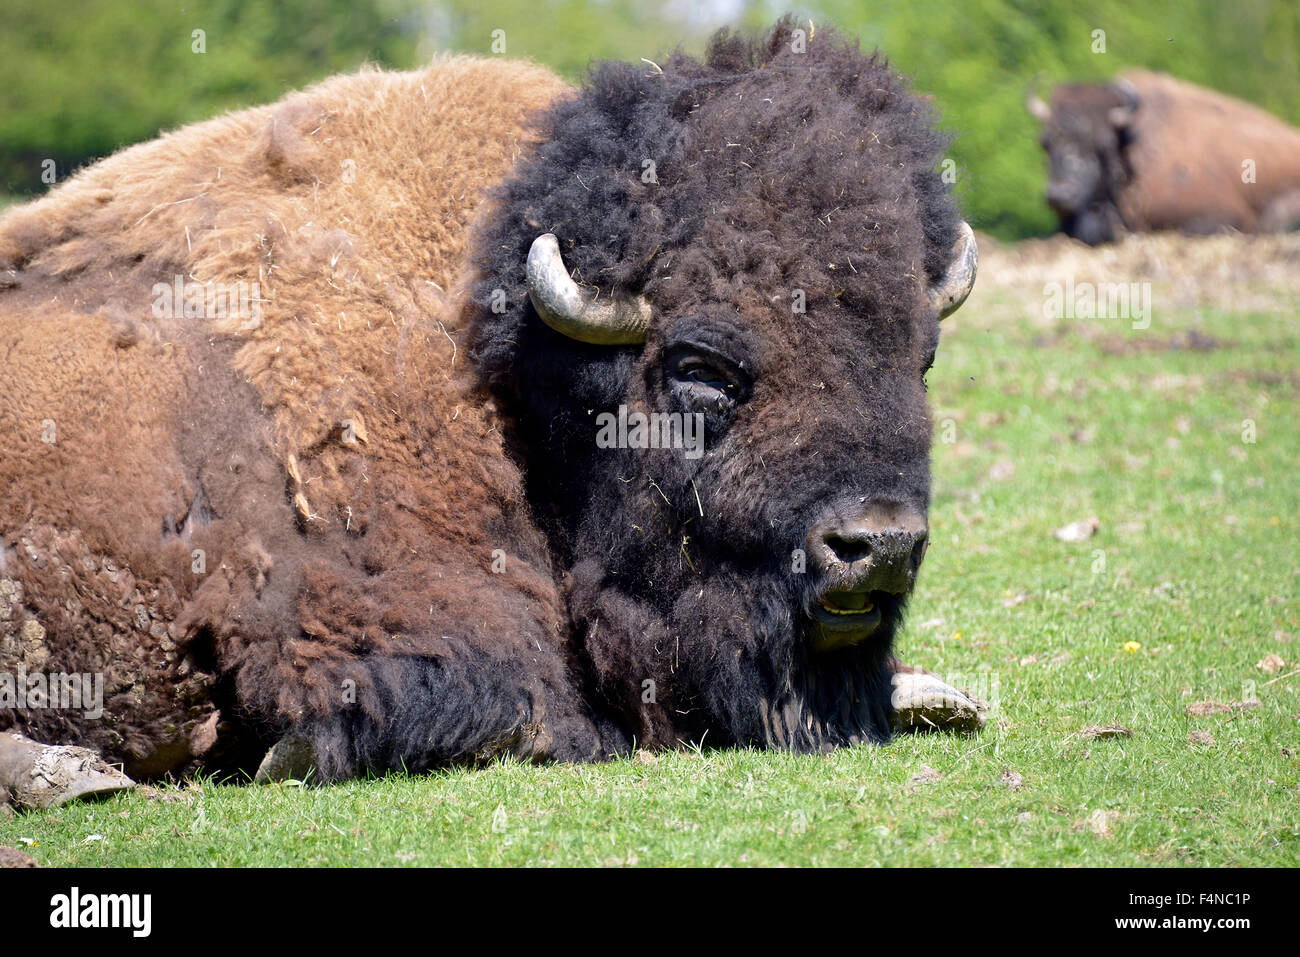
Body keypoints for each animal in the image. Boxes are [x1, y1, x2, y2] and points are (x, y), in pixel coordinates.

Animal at [0, 19, 982, 808]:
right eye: (700, 367)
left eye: (920, 355)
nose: (879, 544)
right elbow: (514, 701)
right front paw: (284, 754)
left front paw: (941, 696)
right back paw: (74, 778)